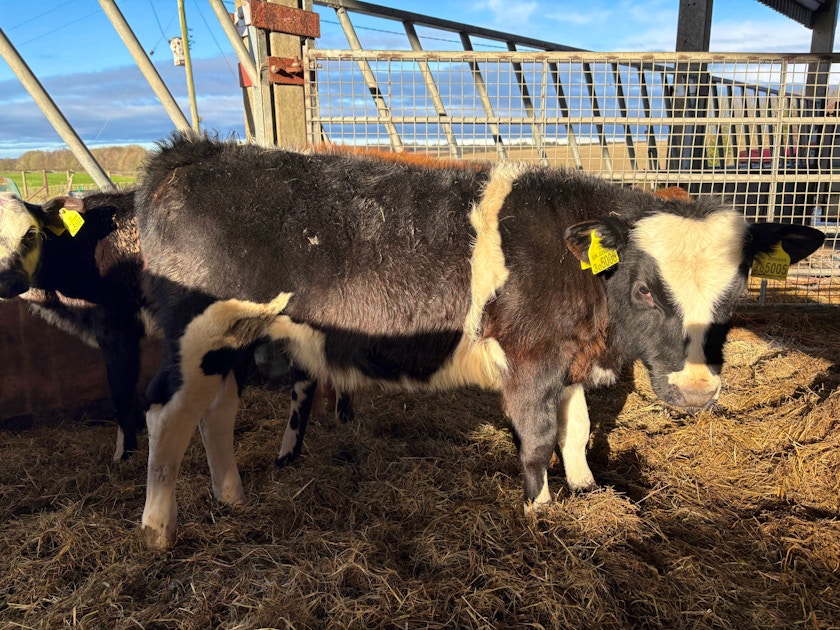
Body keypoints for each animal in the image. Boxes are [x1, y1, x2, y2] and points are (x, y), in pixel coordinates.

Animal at [135, 133, 824, 549]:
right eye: (646, 290)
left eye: (735, 293)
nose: (698, 390)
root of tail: (193, 154)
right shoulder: (531, 359)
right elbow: (538, 437)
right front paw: (539, 513)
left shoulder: (566, 359)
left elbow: (575, 430)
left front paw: (586, 491)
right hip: (195, 338)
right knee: (165, 417)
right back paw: (157, 530)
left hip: (230, 345)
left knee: (215, 414)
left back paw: (232, 499)